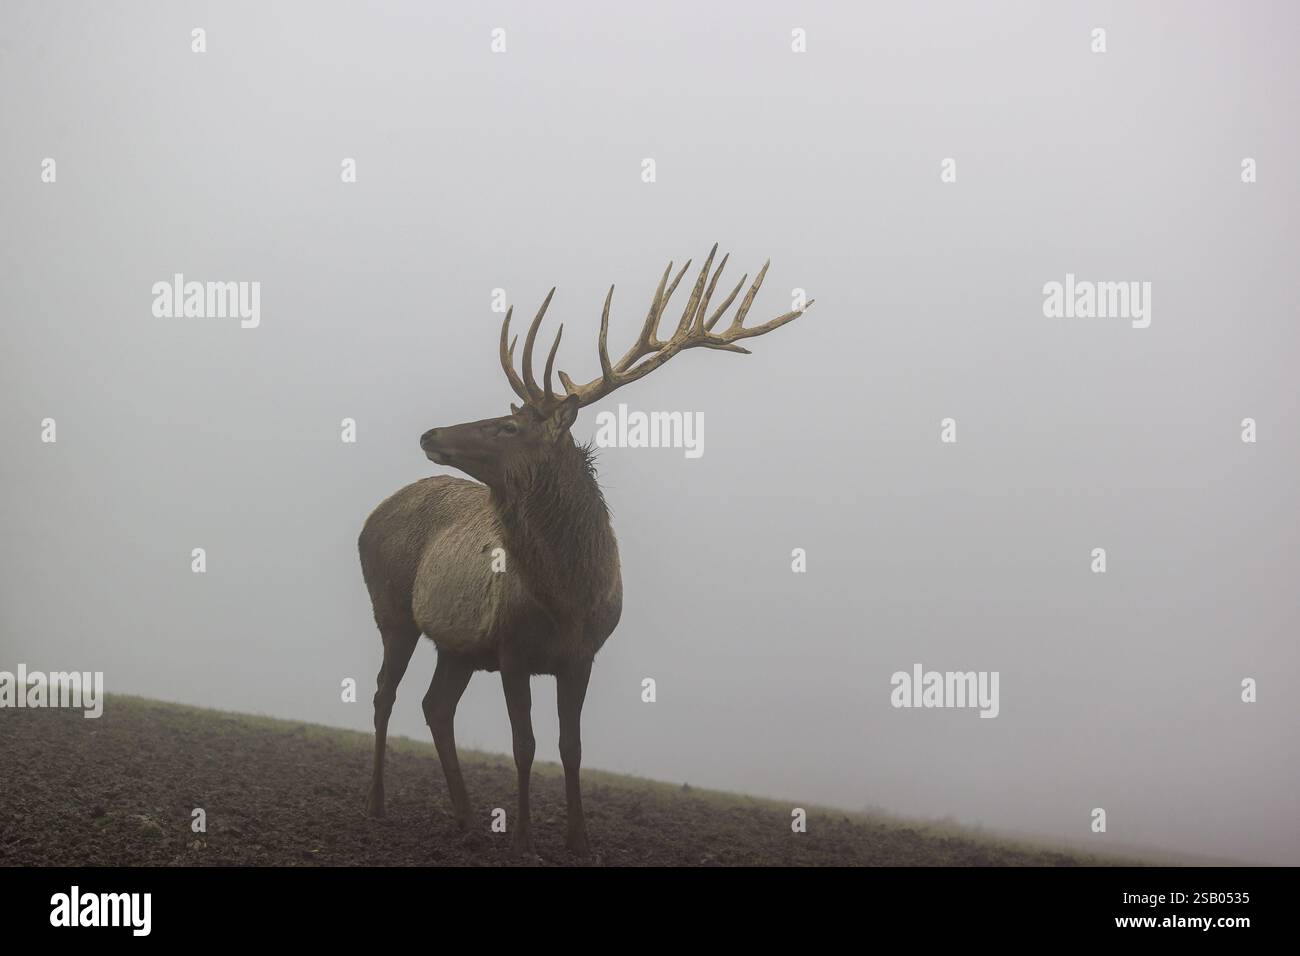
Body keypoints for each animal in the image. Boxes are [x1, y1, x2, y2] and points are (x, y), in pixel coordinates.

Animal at [358, 244, 812, 857]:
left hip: (456, 645)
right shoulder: (511, 648)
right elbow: (524, 744)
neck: (567, 597)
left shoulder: (582, 655)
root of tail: (368, 519)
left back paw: (466, 819)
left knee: (435, 706)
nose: (430, 434)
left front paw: (577, 838)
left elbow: (570, 748)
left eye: (507, 427)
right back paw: (378, 804)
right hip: (392, 611)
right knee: (385, 694)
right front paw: (524, 836)